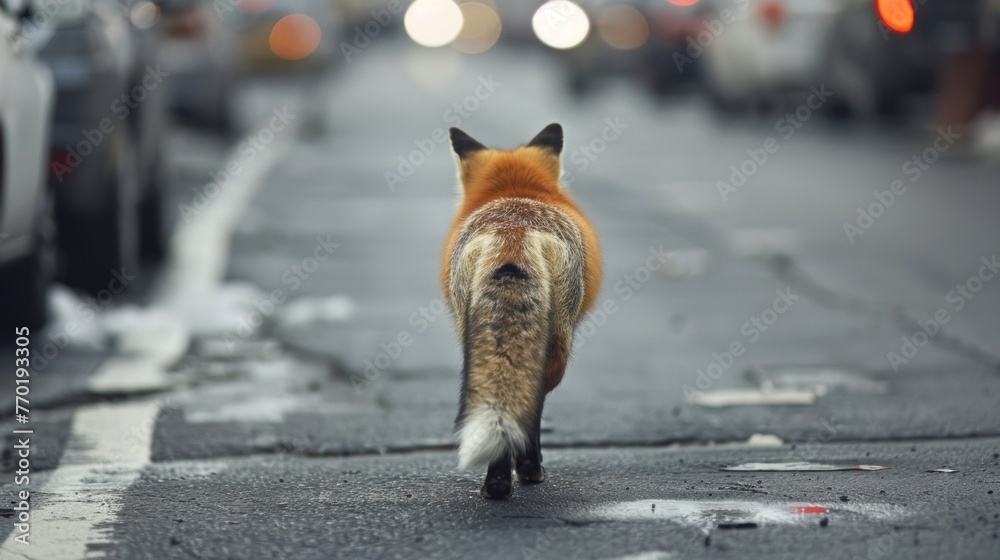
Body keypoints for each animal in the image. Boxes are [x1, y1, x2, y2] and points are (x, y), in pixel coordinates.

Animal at [442, 123, 602, 499]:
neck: (516, 191)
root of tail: (512, 229)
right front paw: (527, 466)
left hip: (473, 339)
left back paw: (498, 481)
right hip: (557, 344)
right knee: (531, 398)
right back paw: (519, 472)